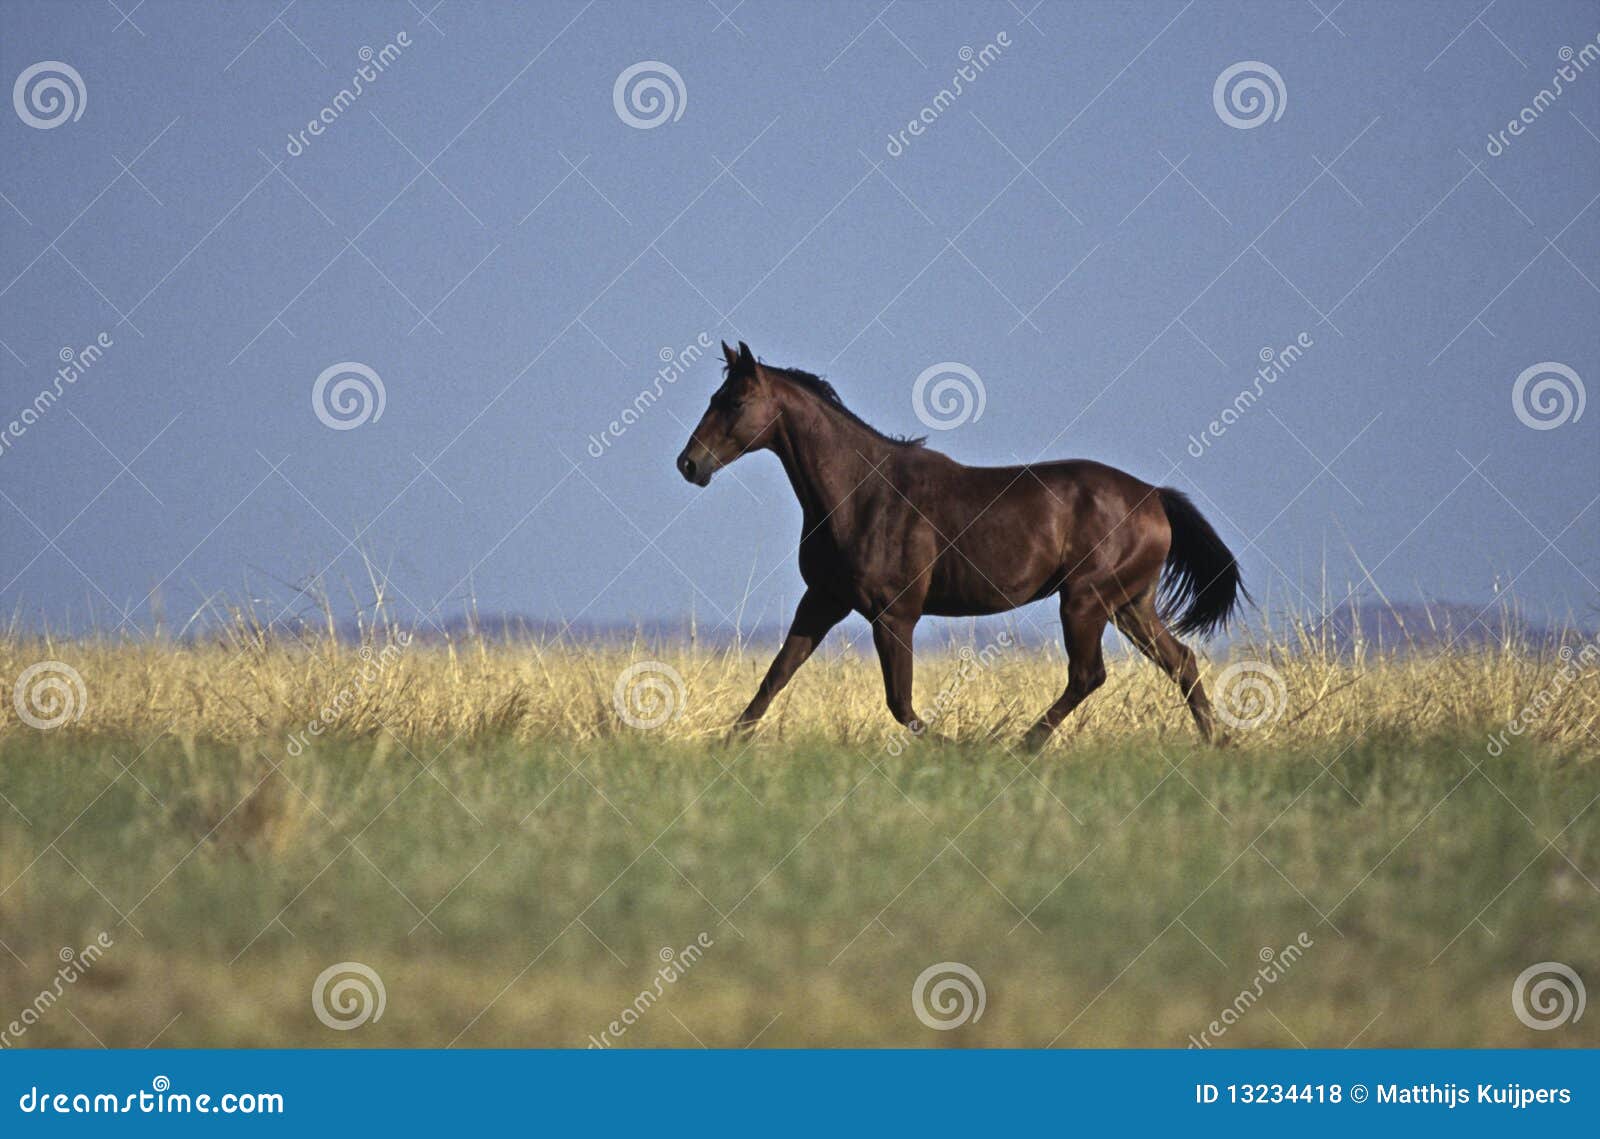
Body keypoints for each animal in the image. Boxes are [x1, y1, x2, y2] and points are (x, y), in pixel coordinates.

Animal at [676, 341, 1248, 748]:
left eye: (736, 401)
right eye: (712, 398)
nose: (689, 464)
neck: (860, 494)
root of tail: (1154, 497)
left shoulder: (894, 614)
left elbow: (901, 703)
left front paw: (960, 746)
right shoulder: (823, 600)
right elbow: (775, 676)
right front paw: (727, 745)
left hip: (1085, 601)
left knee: (1089, 675)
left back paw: (1021, 746)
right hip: (1129, 604)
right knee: (1181, 662)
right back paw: (1215, 743)